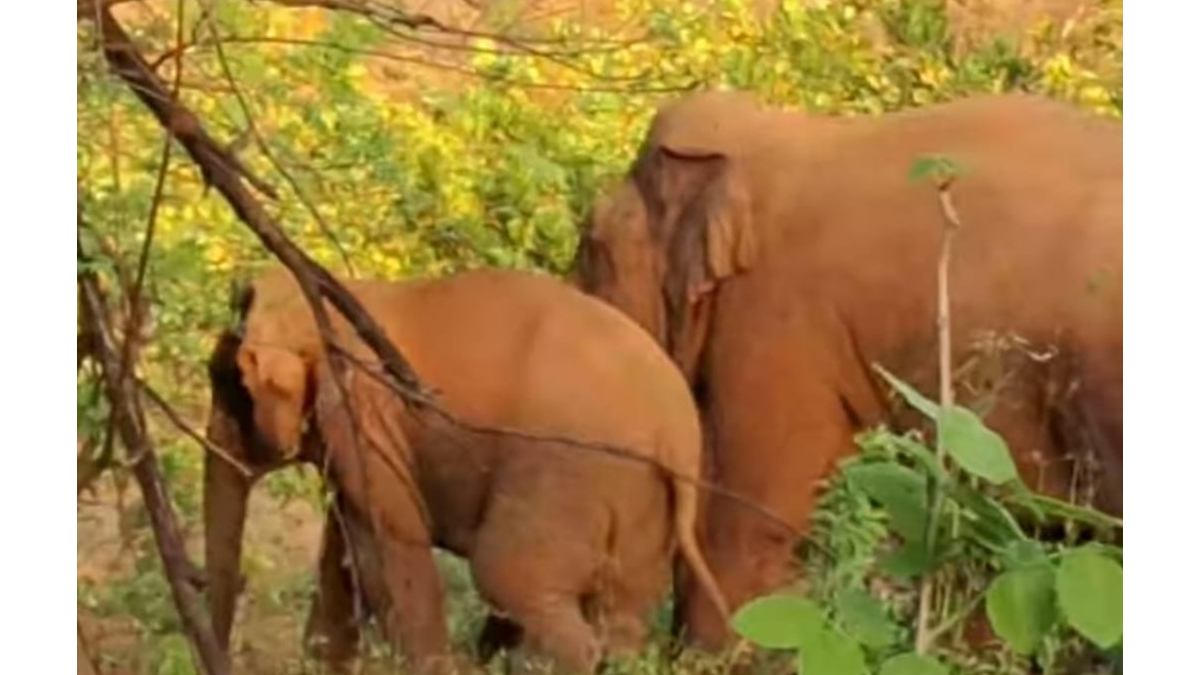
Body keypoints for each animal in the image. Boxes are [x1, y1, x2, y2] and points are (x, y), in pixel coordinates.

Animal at [202, 265, 730, 674]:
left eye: (227, 385)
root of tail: (675, 430)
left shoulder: (363, 408)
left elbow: (387, 547)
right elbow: (345, 550)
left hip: (565, 478)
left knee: (510, 580)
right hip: (645, 506)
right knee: (623, 621)